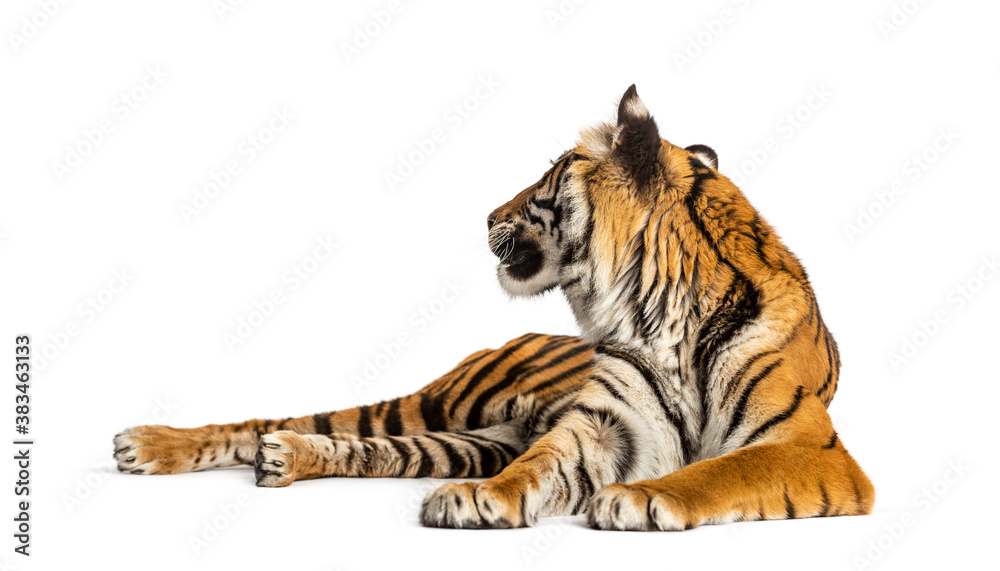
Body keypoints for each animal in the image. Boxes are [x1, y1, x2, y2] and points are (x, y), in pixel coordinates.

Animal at [114, 84, 874, 531]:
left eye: (546, 178)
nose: (485, 215)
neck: (652, 313)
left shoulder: (812, 448)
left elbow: (724, 468)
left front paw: (639, 498)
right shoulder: (605, 425)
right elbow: (538, 467)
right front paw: (484, 500)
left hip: (472, 435)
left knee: (365, 449)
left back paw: (285, 459)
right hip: (445, 403)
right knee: (273, 420)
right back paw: (148, 443)